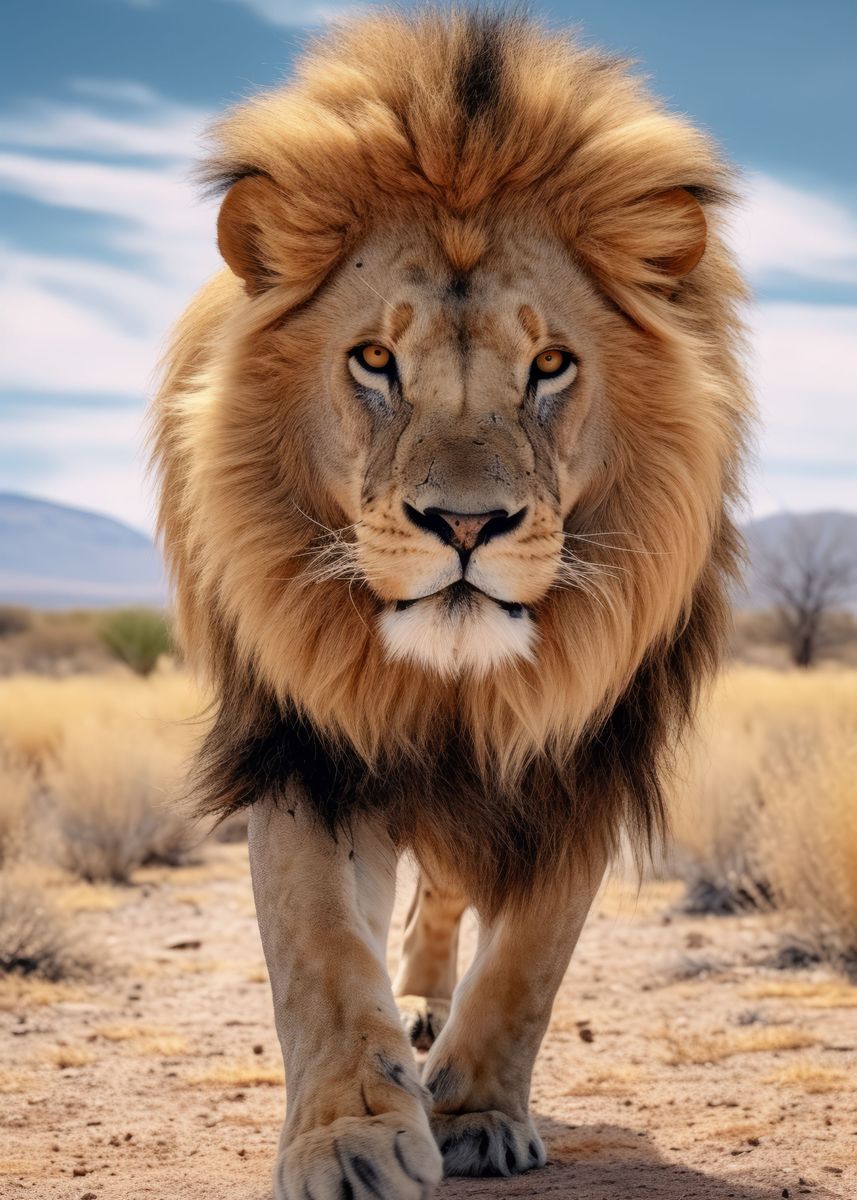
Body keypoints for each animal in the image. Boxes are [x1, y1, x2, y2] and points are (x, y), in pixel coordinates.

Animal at [150, 9, 750, 1198]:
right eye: (375, 359)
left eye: (551, 364)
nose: (465, 527)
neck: (455, 685)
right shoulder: (307, 738)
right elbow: (320, 948)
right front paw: (348, 1135)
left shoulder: (581, 751)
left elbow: (530, 960)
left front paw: (474, 1113)